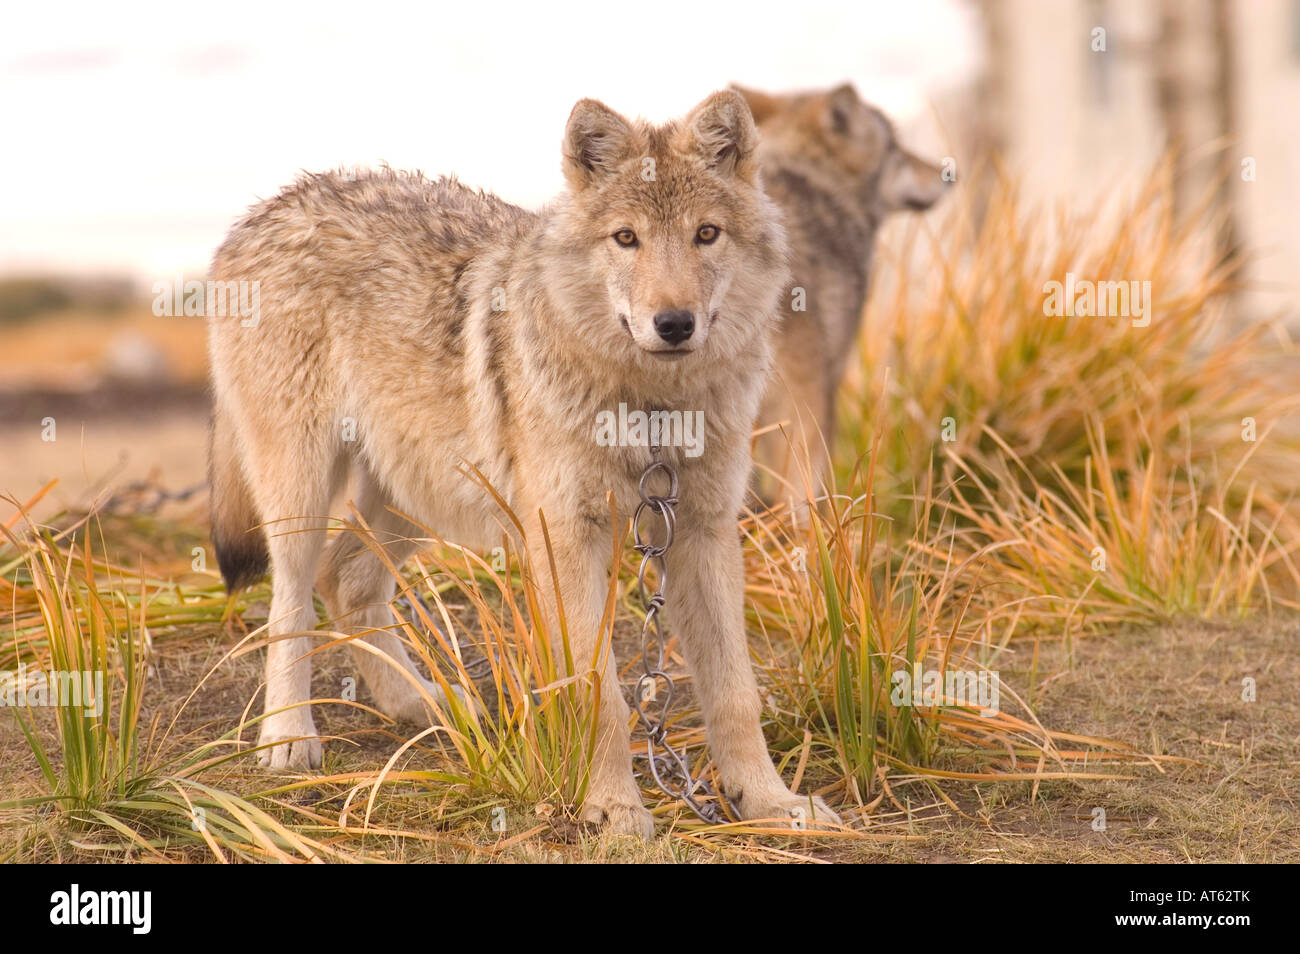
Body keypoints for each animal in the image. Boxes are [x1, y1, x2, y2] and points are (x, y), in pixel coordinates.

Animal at [208, 90, 840, 836]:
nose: (674, 323)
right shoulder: (563, 538)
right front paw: (613, 809)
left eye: (706, 234)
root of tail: (265, 209)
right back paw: (288, 737)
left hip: (421, 495)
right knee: (291, 602)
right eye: (626, 238)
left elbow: (737, 692)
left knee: (349, 580)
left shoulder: (704, 533)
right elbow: (603, 696)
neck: (653, 410)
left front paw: (771, 803)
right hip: (306, 486)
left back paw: (424, 703)